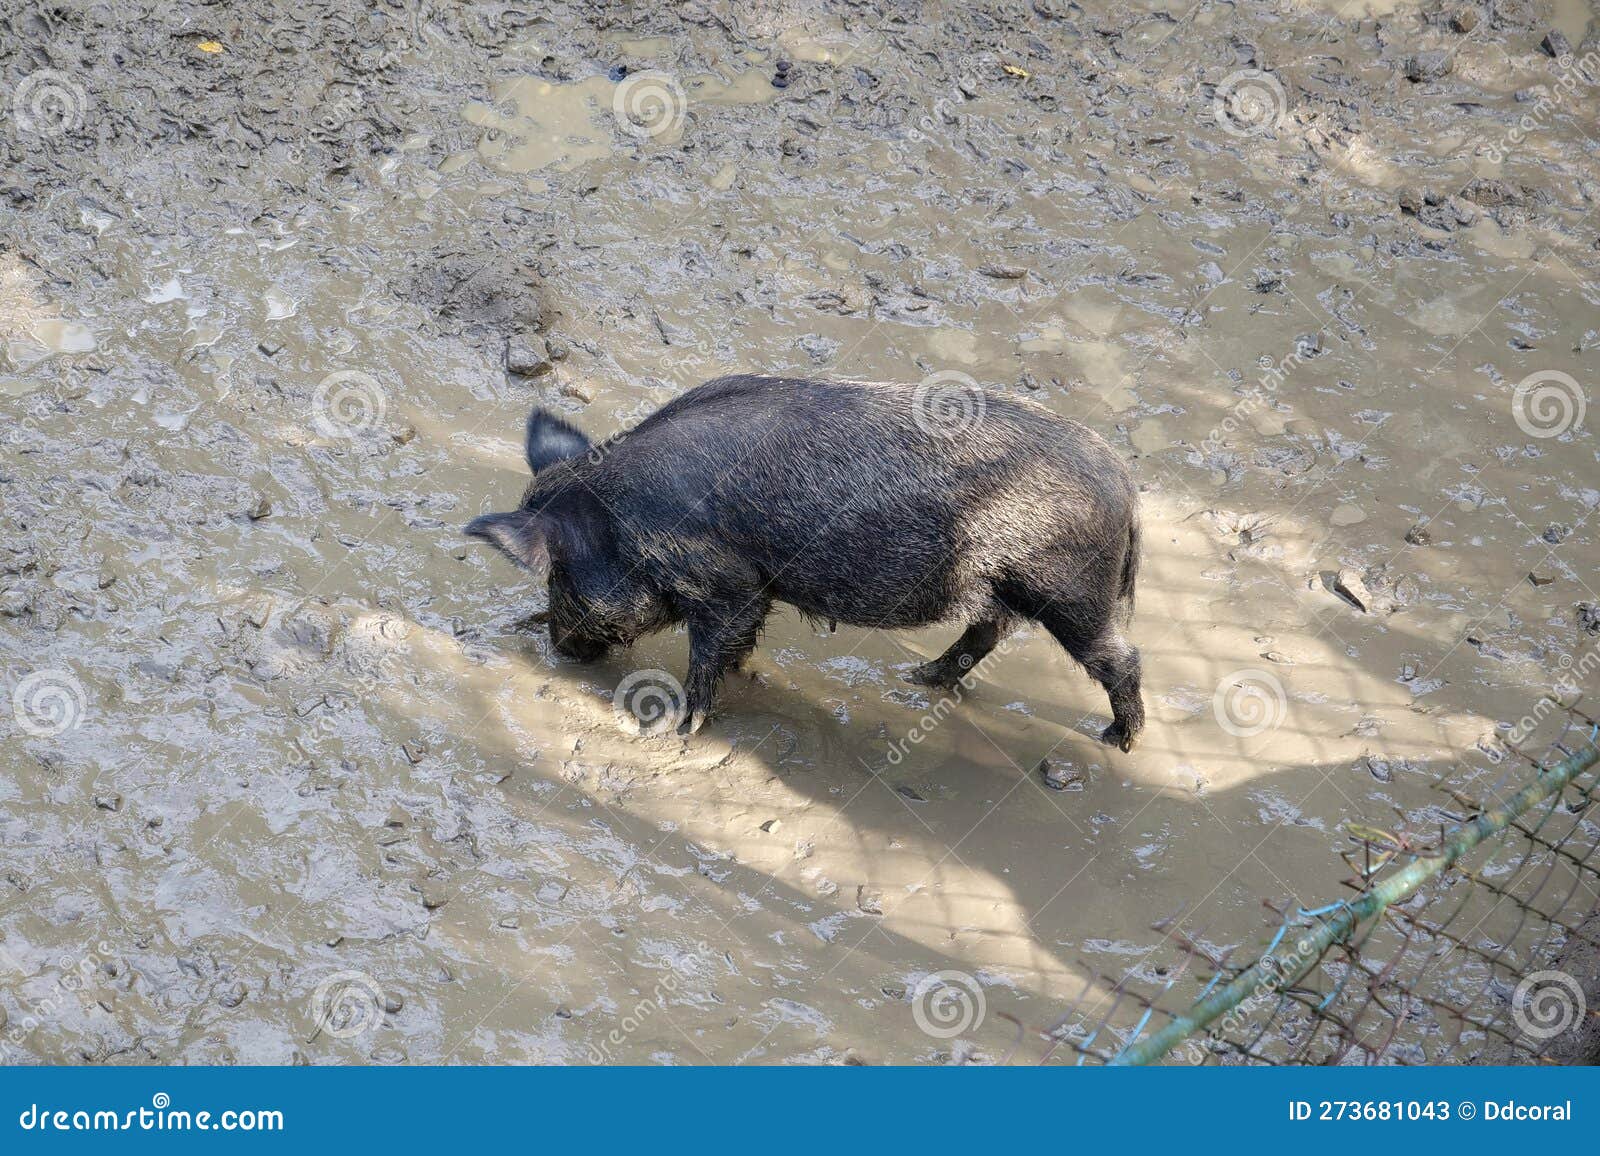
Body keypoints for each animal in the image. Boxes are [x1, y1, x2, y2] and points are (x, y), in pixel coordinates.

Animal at [465, 374, 1143, 749]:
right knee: (987, 631)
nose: (560, 648)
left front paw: (684, 726)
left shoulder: (726, 582)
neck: (620, 520)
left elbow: (710, 649)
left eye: (557, 574)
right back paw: (917, 680)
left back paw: (1117, 740)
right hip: (999, 586)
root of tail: (1126, 487)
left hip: (1069, 591)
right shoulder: (751, 590)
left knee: (1121, 658)